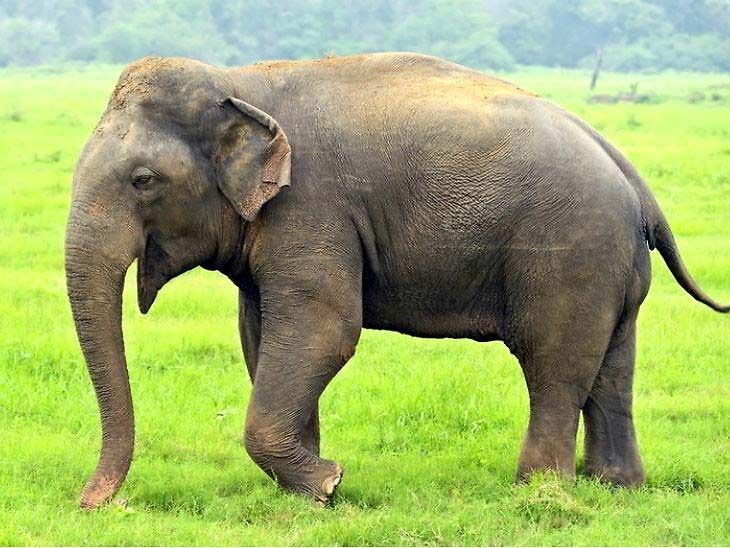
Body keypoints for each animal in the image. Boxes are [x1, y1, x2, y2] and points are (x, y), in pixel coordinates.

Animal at [65, 52, 728, 509]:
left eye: (143, 180)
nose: (94, 504)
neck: (241, 82)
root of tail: (630, 173)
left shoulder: (312, 207)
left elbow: (325, 331)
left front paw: (329, 485)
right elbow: (261, 335)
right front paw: (311, 488)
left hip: (569, 252)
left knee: (554, 362)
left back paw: (537, 491)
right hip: (614, 262)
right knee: (612, 366)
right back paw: (616, 487)